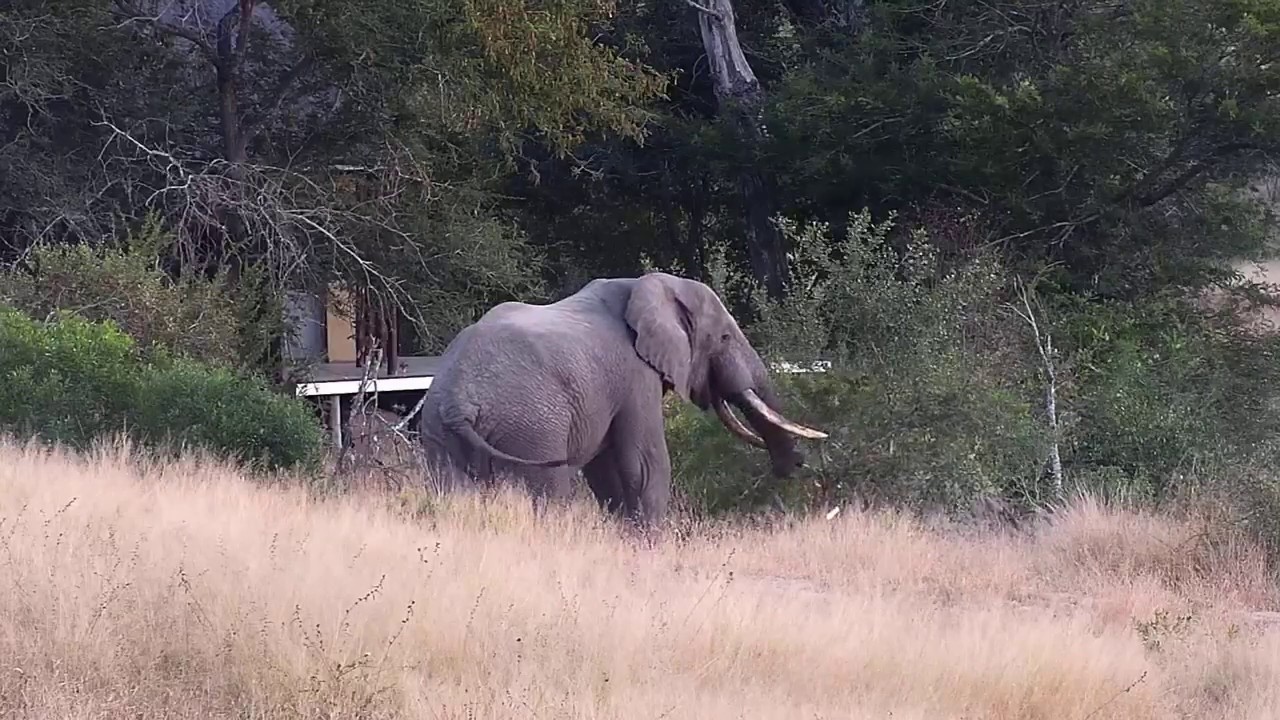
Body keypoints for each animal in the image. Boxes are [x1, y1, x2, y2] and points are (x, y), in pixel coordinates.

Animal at [416, 271, 828, 527]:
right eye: (724, 338)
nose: (795, 466)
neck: (647, 285)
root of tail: (458, 402)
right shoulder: (635, 376)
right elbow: (643, 465)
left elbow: (607, 471)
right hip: (530, 427)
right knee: (547, 488)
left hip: (440, 433)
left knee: (454, 494)